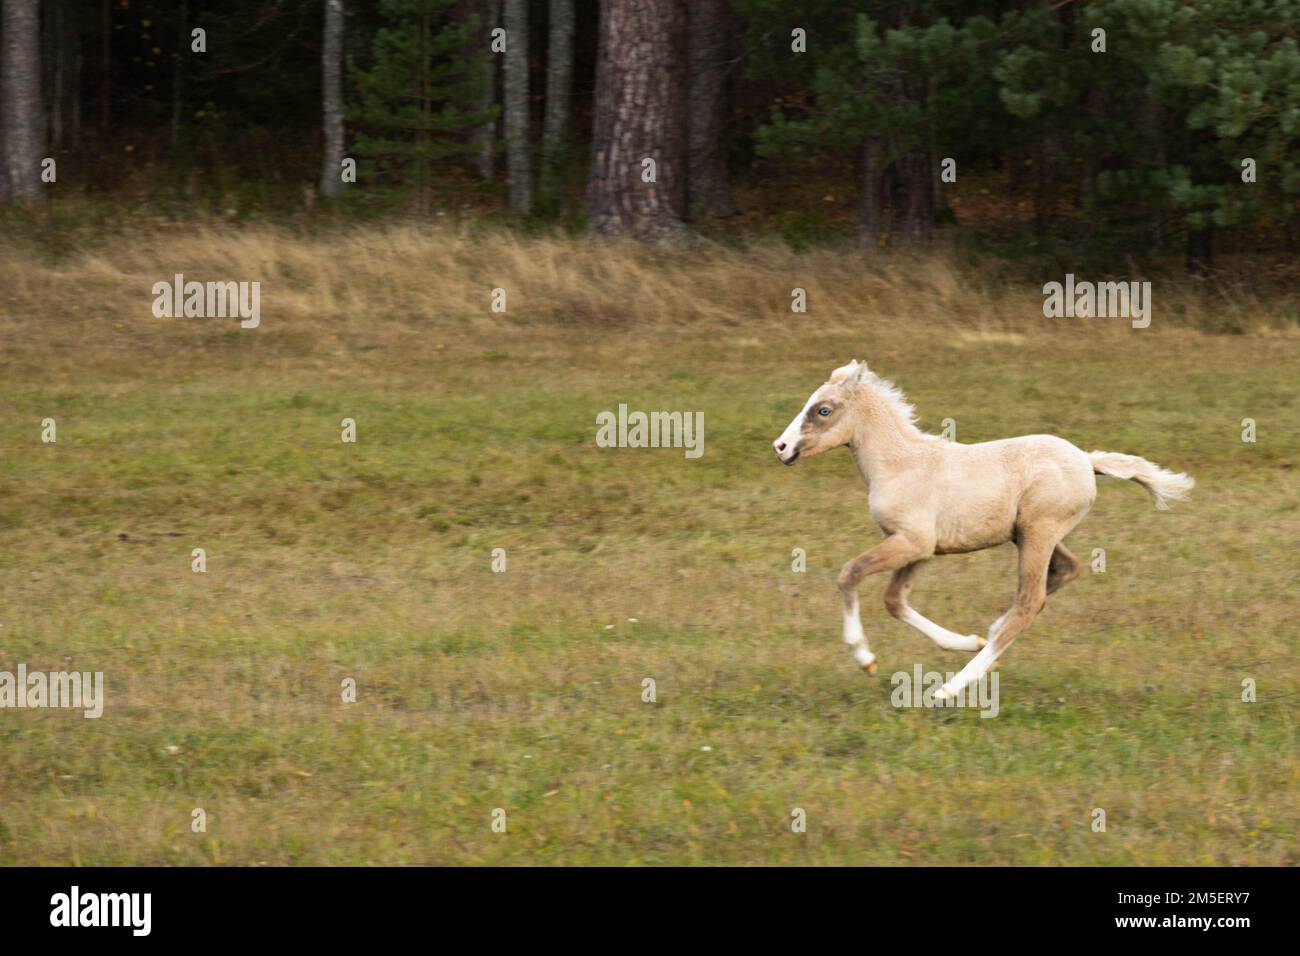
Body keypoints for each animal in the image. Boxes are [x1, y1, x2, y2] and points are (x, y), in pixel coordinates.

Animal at [772, 360, 1193, 701]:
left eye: (823, 410)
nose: (781, 447)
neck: (901, 463)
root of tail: (1088, 462)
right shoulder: (922, 549)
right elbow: (895, 600)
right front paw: (967, 640)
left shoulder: (911, 542)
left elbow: (850, 573)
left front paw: (864, 657)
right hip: (1030, 534)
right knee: (1066, 570)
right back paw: (988, 636)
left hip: (1038, 533)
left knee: (1030, 601)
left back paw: (952, 687)